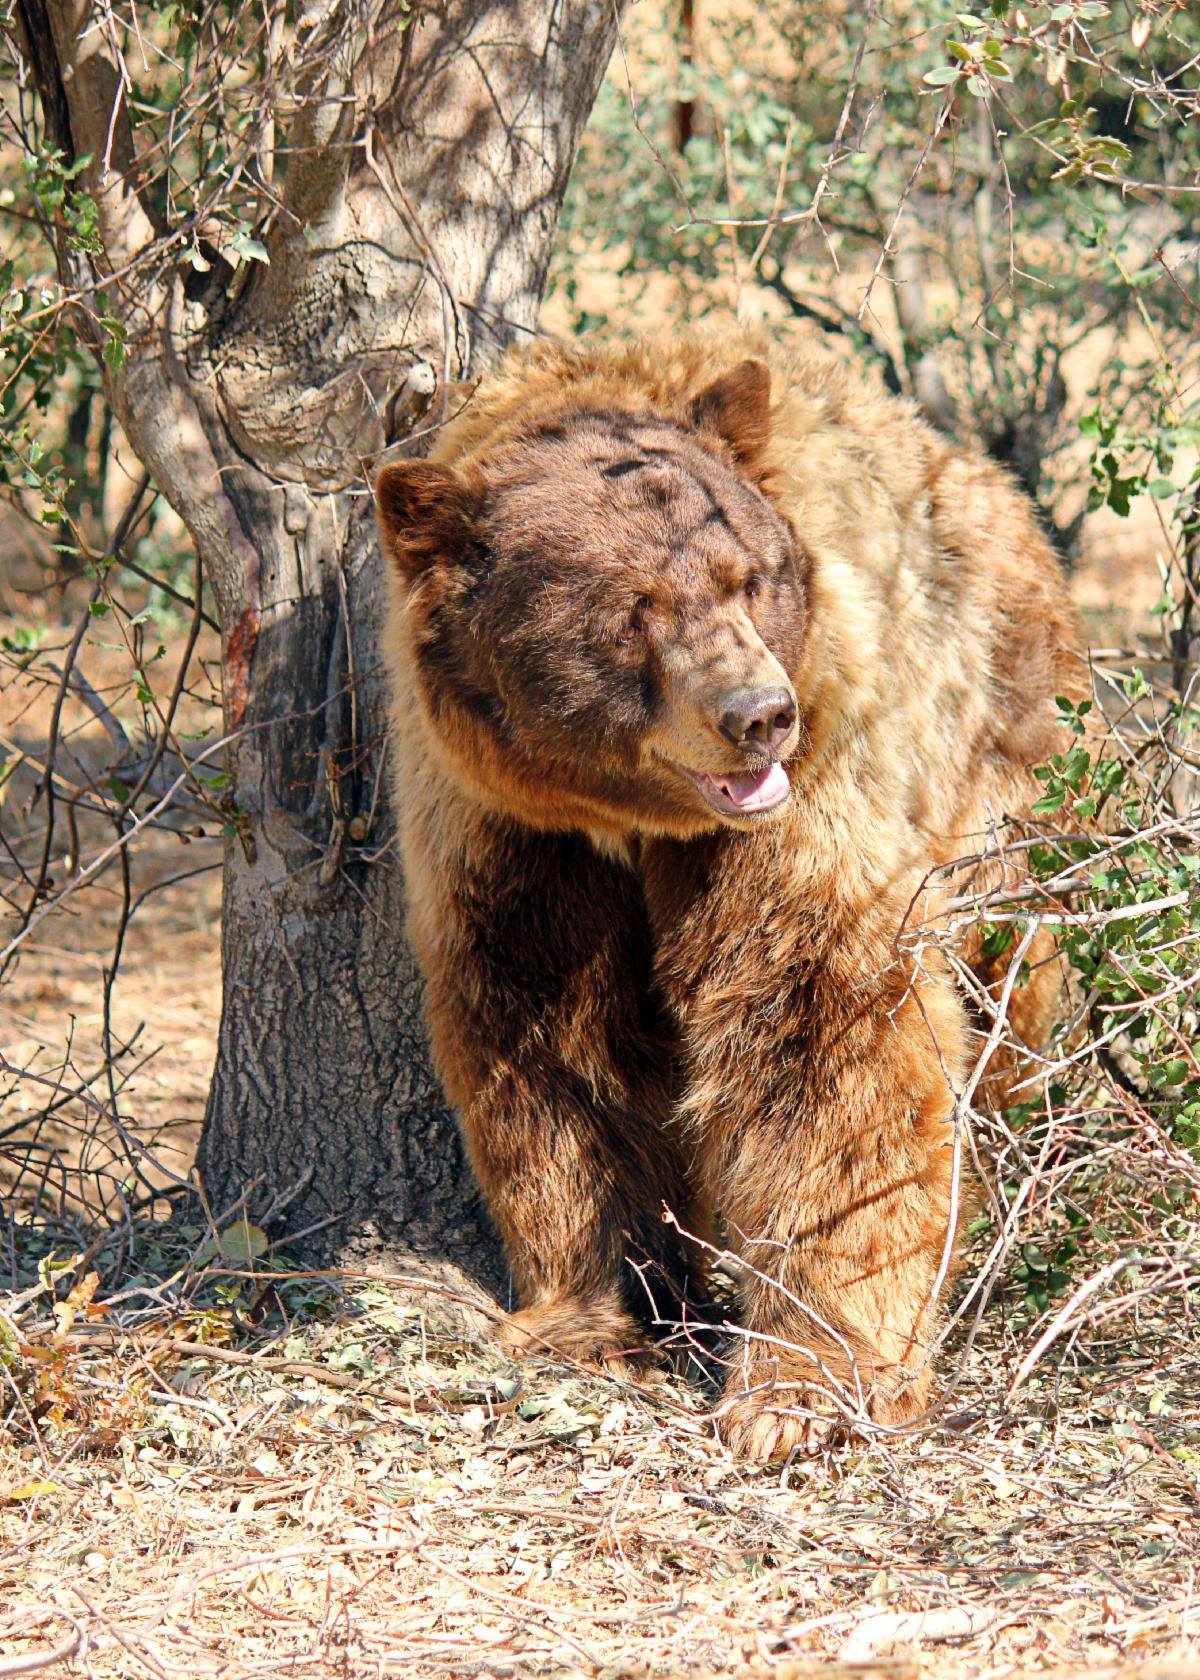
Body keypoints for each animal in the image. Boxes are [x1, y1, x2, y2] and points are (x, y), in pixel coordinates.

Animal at [373, 333, 1079, 1461]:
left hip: (1005, 771)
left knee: (1020, 985)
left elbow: (819, 1031)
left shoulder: (818, 779)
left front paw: (802, 1386)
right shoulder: (509, 836)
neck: (631, 821)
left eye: (746, 579)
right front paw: (596, 1313)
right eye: (631, 610)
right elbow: (556, 1047)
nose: (757, 715)